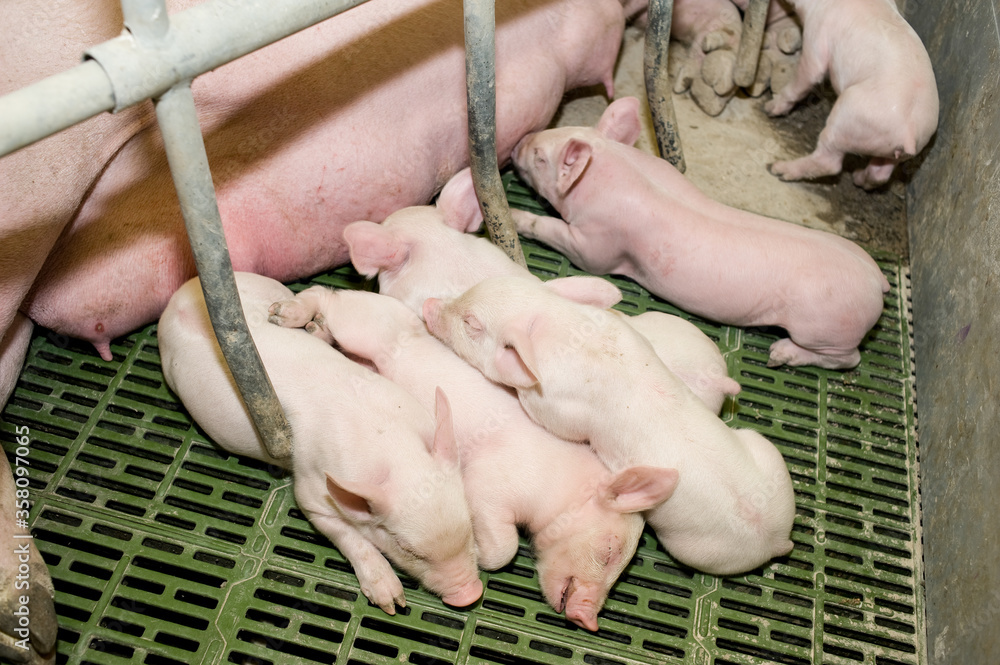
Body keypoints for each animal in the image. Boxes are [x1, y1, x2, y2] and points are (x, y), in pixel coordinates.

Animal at [156, 272, 481, 613]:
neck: (390, 449)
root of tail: (183, 294)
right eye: (408, 549)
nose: (470, 594)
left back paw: (313, 327)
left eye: (470, 524)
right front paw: (391, 602)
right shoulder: (311, 492)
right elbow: (345, 534)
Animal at [268, 286, 678, 630]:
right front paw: (480, 554)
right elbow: (504, 549)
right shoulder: (489, 484)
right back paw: (284, 315)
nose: (589, 620)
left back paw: (315, 331)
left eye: (621, 566)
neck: (558, 490)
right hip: (363, 323)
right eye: (609, 550)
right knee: (329, 294)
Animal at [423, 275, 797, 575]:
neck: (559, 328)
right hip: (767, 452)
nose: (428, 305)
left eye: (472, 324)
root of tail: (778, 540)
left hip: (692, 549)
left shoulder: (556, 410)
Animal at [510, 96, 890, 370]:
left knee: (849, 358)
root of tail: (877, 282)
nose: (518, 143)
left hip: (824, 326)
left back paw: (779, 355)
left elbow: (560, 235)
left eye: (541, 157)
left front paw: (517, 218)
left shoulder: (596, 244)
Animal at [763, 0, 939, 189]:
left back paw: (777, 169)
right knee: (880, 174)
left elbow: (810, 73)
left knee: (829, 162)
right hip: (888, 147)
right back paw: (857, 178)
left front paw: (769, 107)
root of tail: (910, 134)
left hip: (849, 117)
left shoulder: (817, 33)